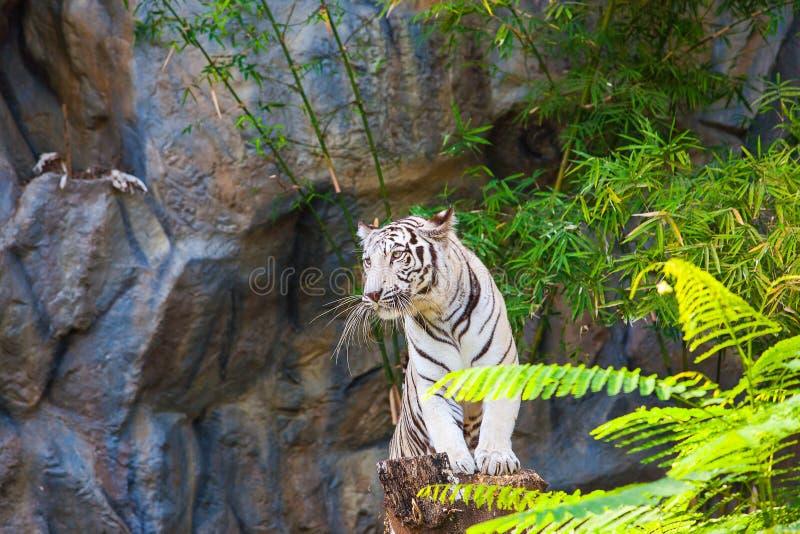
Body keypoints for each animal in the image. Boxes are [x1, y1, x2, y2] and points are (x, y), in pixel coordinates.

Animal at [355, 207, 521, 475]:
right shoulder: (434, 381)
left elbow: (498, 418)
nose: (372, 294)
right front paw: (455, 461)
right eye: (368, 261)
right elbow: (444, 425)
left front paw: (497, 458)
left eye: (397, 255)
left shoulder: (500, 369)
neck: (440, 309)